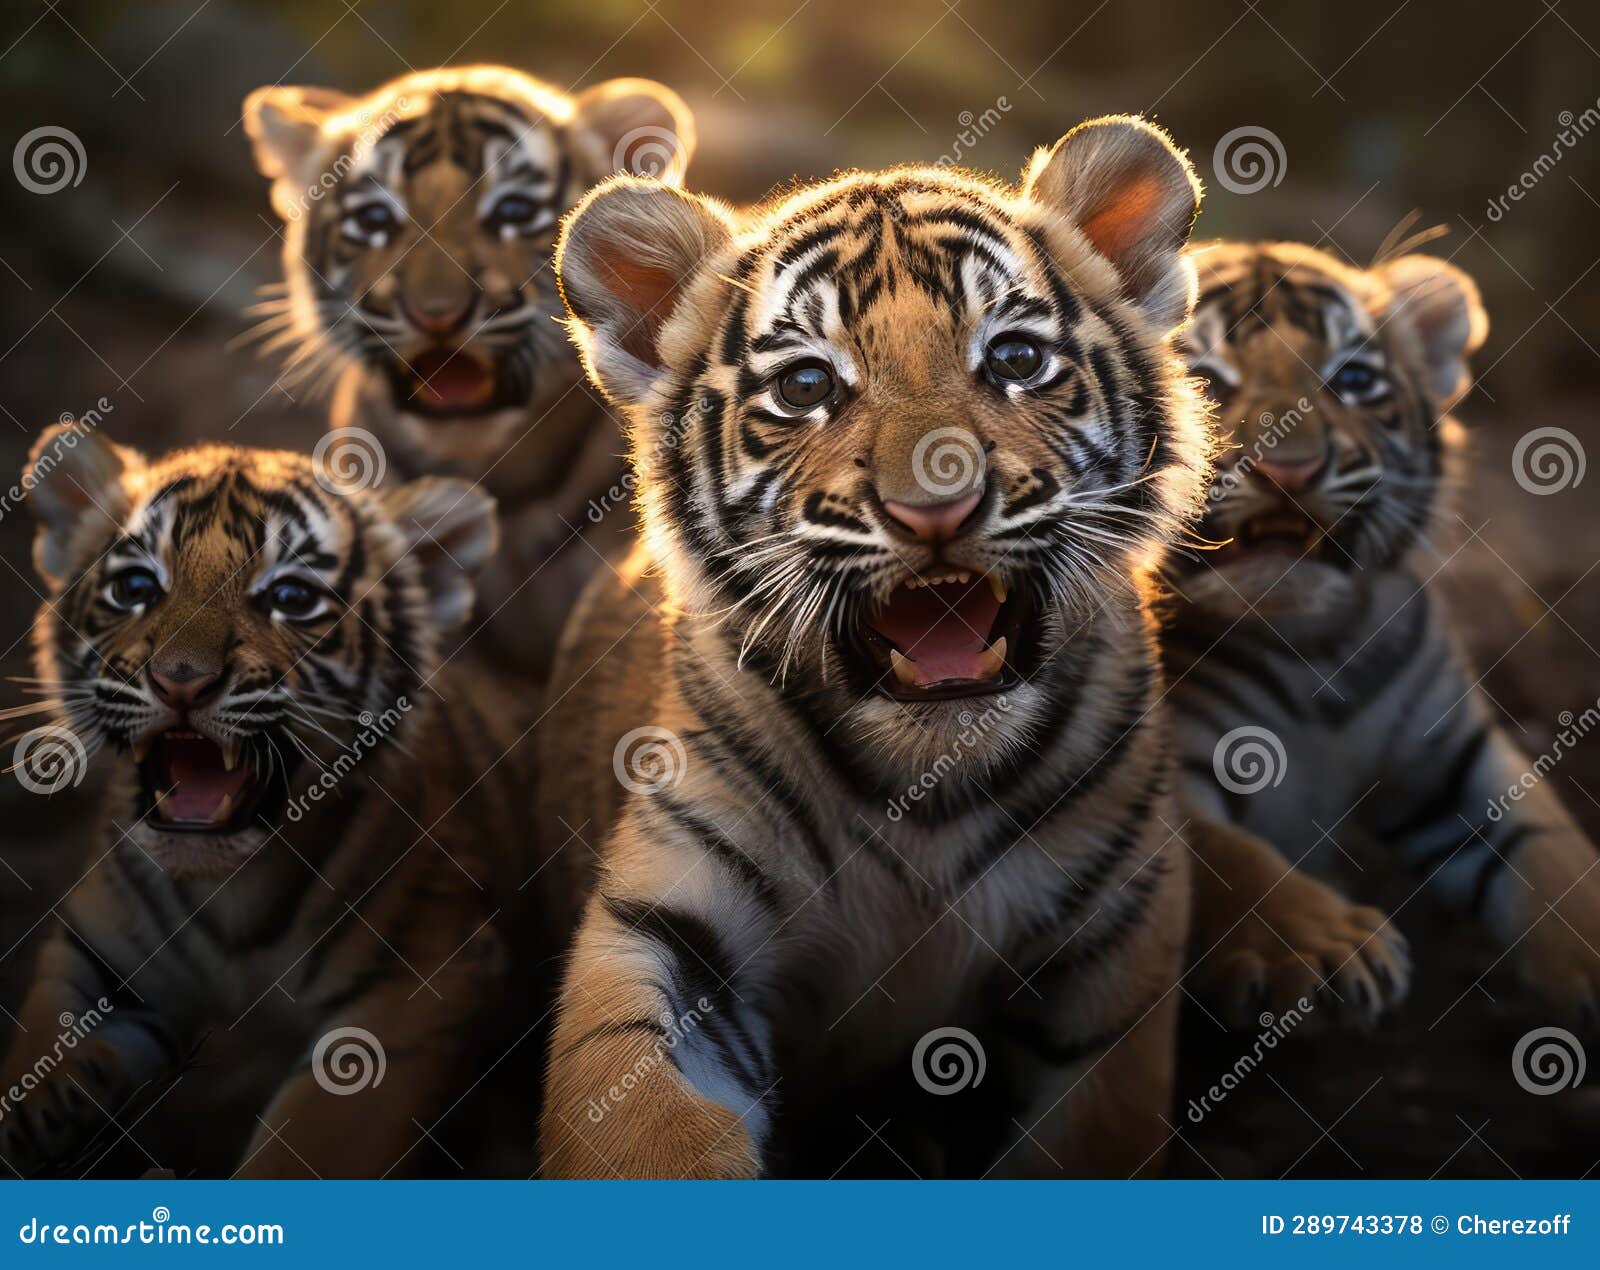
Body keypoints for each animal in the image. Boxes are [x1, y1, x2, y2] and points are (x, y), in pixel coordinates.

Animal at [0, 424, 583, 1178]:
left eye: (291, 597)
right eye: (134, 588)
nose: (179, 681)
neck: (225, 889)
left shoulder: (416, 996)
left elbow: (306, 1147)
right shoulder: (96, 960)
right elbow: (39, 1048)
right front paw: (35, 1126)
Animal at [532, 115, 1394, 1180]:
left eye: (1015, 359)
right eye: (807, 385)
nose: (934, 506)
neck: (926, 786)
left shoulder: (1117, 944)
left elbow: (1092, 1133)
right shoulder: (668, 921)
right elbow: (641, 1108)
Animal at [1168, 239, 1600, 1028]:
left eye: (1355, 379)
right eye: (1203, 375)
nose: (1290, 469)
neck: (1314, 653)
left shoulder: (1460, 760)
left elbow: (1559, 859)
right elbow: (1228, 858)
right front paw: (1327, 947)